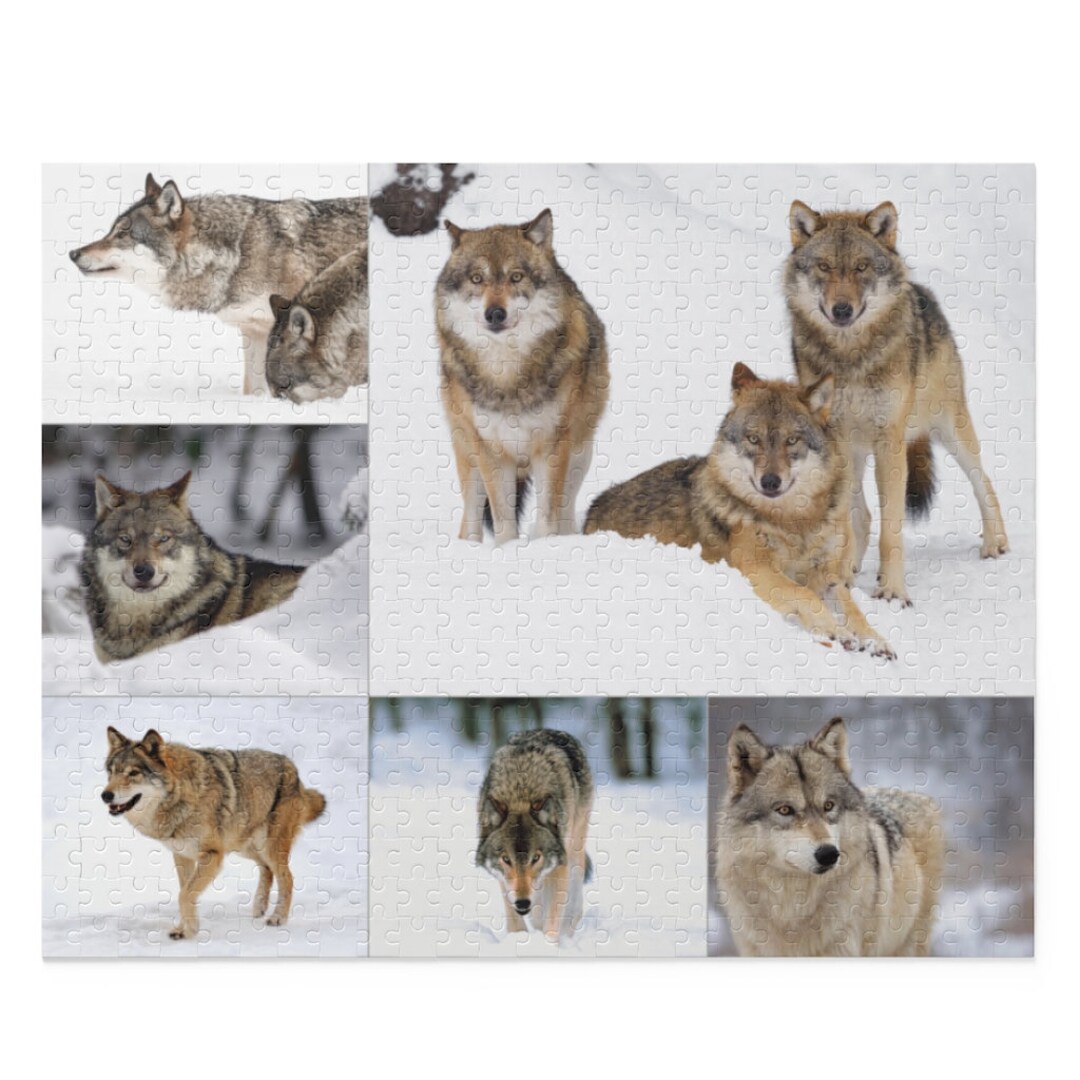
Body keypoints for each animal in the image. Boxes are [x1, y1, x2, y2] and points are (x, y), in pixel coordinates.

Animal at [103, 727, 325, 939]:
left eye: (133, 773)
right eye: (112, 772)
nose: (105, 795)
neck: (183, 797)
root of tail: (292, 767)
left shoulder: (212, 855)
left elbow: (184, 895)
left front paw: (190, 931)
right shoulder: (183, 855)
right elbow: (185, 890)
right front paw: (184, 929)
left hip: (267, 847)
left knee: (287, 878)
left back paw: (277, 918)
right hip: (243, 847)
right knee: (267, 870)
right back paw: (259, 908)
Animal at [435, 209, 610, 544]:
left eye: (516, 276)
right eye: (477, 278)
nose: (495, 314)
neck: (508, 375)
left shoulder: (552, 445)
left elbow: (547, 516)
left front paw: (544, 546)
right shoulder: (491, 451)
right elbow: (503, 520)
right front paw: (508, 549)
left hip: (580, 453)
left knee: (565, 510)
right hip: (468, 453)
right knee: (470, 520)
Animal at [476, 729, 595, 940]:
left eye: (536, 858)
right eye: (506, 859)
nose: (523, 903)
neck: (520, 793)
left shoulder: (559, 867)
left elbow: (552, 921)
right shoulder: (504, 880)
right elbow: (516, 923)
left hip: (575, 849)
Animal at [584, 363, 894, 657]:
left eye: (792, 440)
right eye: (753, 439)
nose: (770, 481)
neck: (794, 522)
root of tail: (592, 510)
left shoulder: (829, 575)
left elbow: (853, 609)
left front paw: (875, 640)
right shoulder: (758, 570)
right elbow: (805, 596)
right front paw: (838, 632)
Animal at [785, 199, 1009, 605]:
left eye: (861, 267)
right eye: (824, 266)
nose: (842, 310)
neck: (852, 359)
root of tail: (922, 292)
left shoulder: (890, 439)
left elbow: (892, 530)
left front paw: (891, 590)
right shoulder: (837, 438)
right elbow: (849, 521)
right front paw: (841, 579)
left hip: (949, 429)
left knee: (983, 480)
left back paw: (995, 544)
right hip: (857, 451)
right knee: (862, 516)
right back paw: (851, 569)